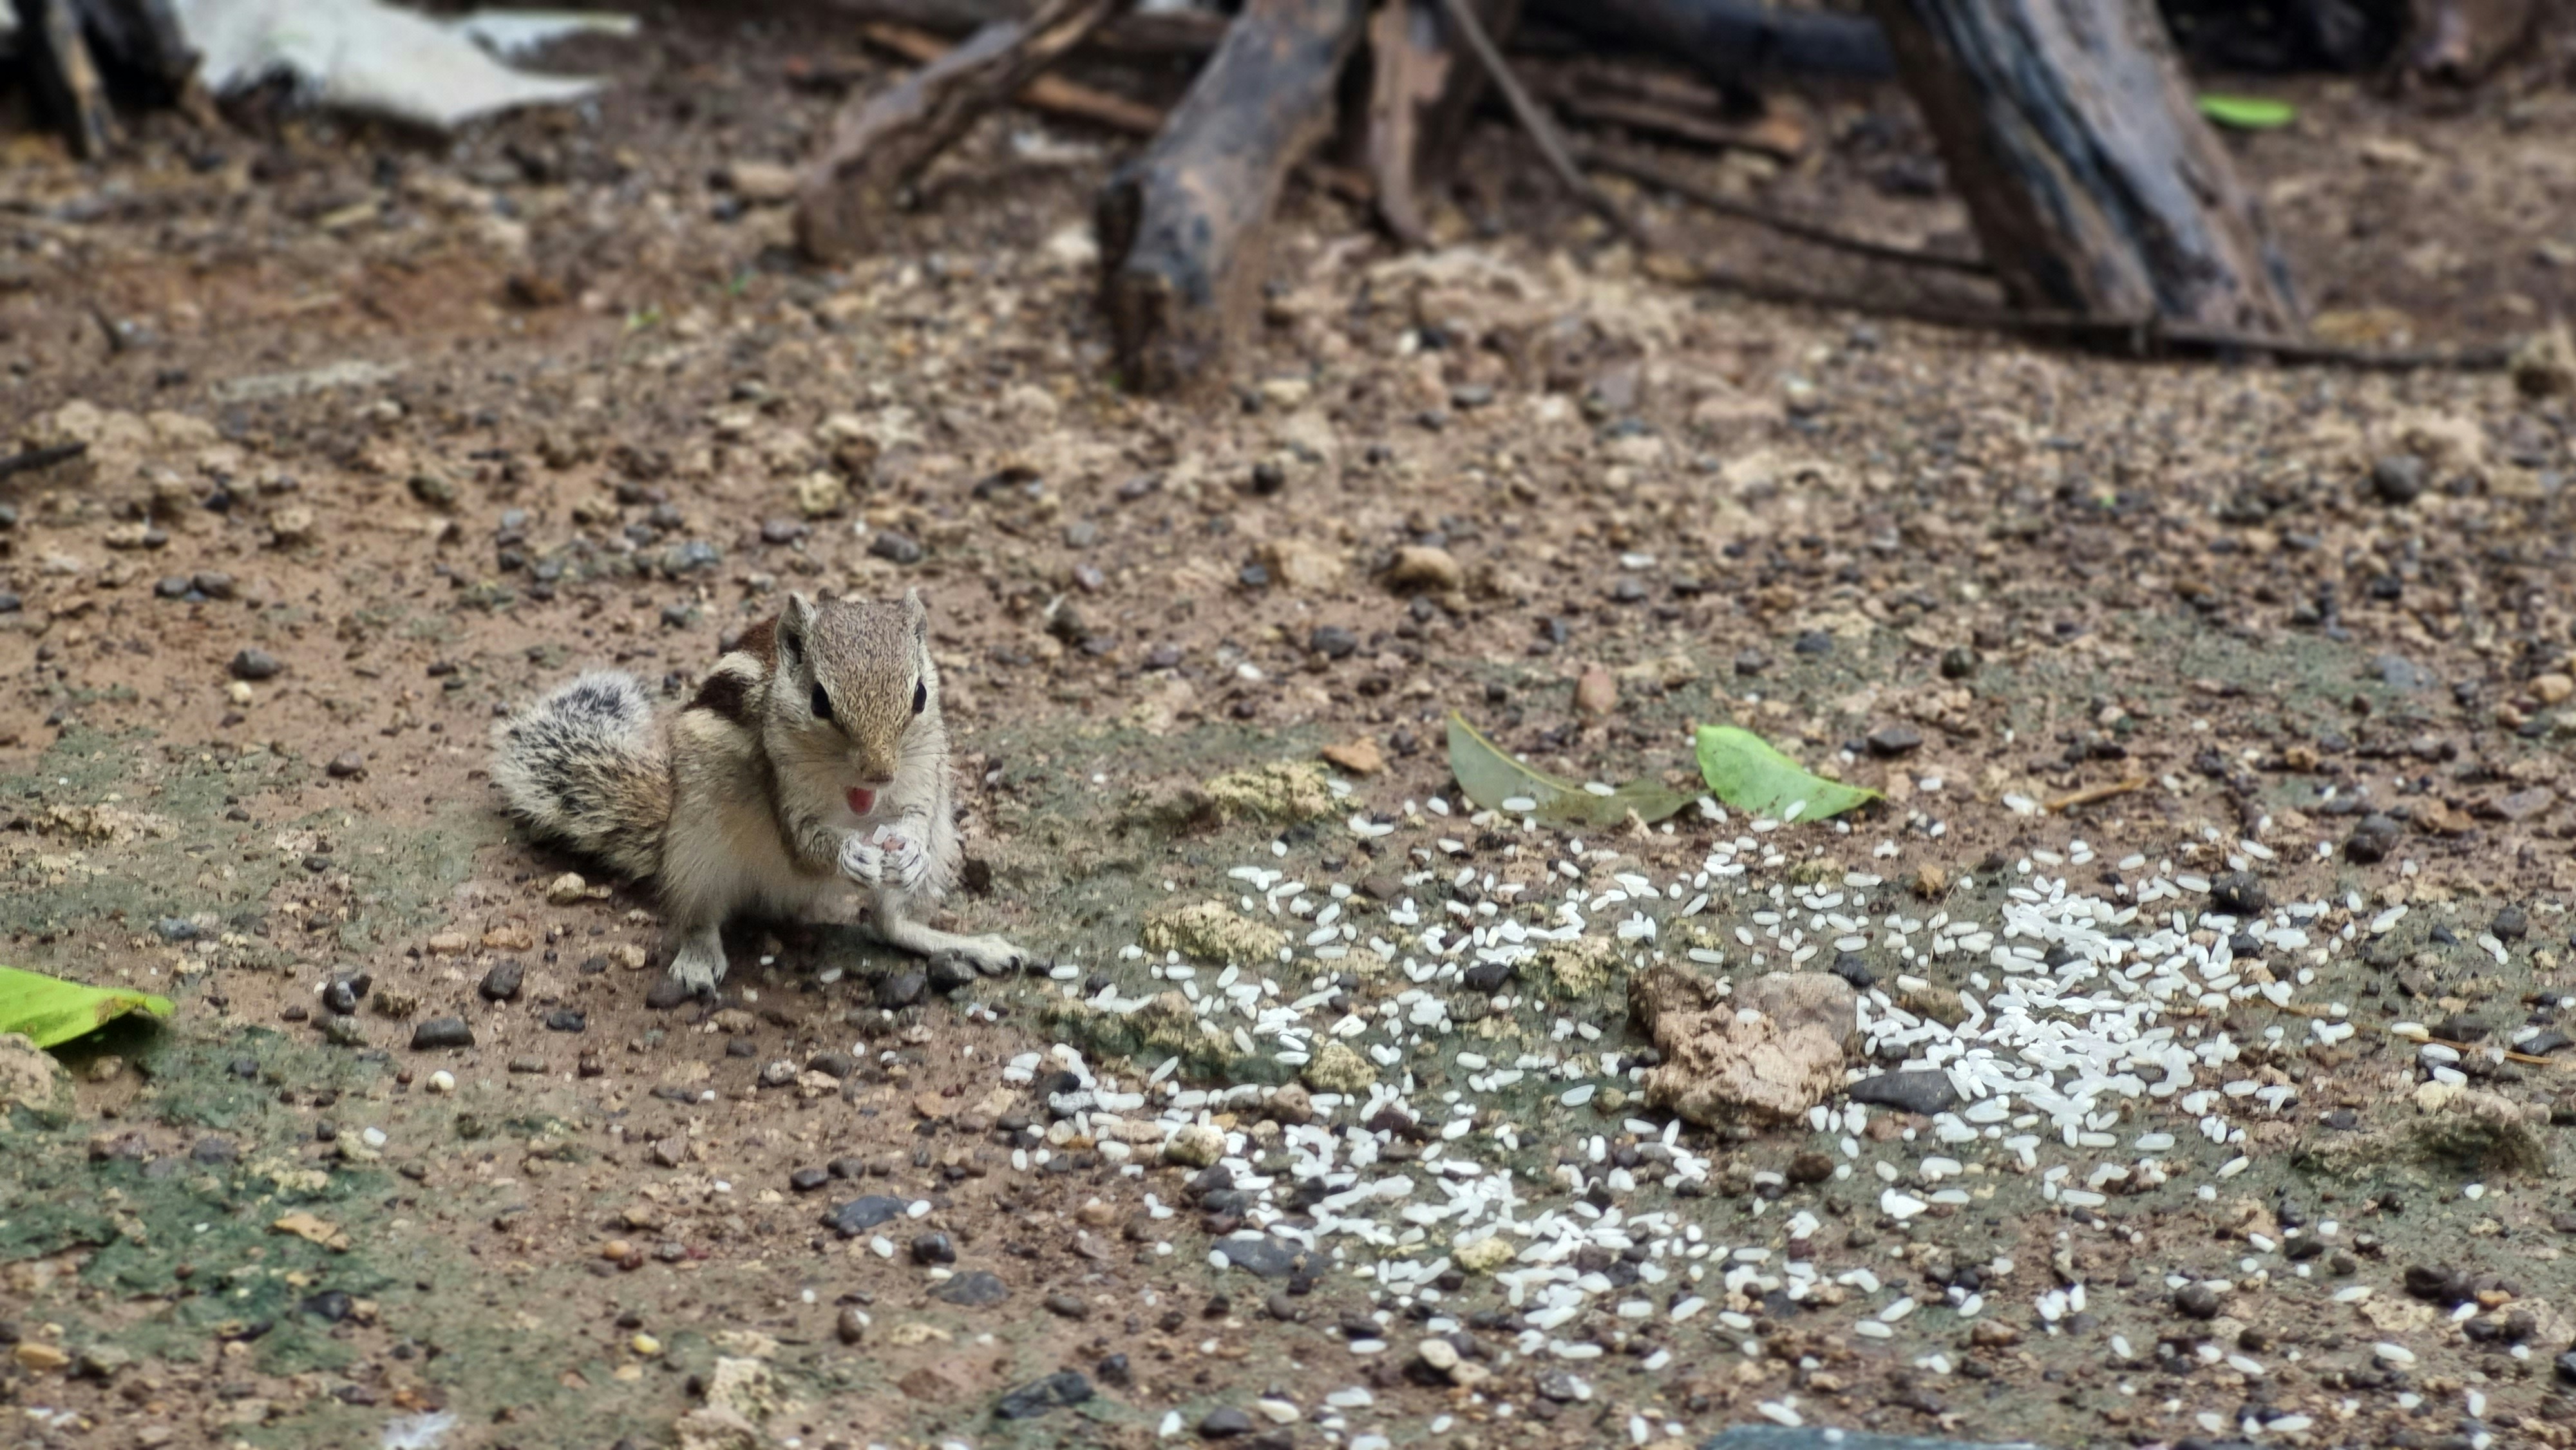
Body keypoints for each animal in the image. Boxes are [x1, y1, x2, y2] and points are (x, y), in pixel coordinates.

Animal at [488, 589, 1028, 994]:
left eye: (919, 695)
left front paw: (908, 848)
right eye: (820, 702)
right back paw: (698, 960)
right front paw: (850, 854)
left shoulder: (922, 777)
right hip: (698, 847)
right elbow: (807, 844)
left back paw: (969, 945)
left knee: (890, 925)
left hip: (943, 840)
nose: (878, 774)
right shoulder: (784, 787)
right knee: (697, 916)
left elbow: (913, 815)